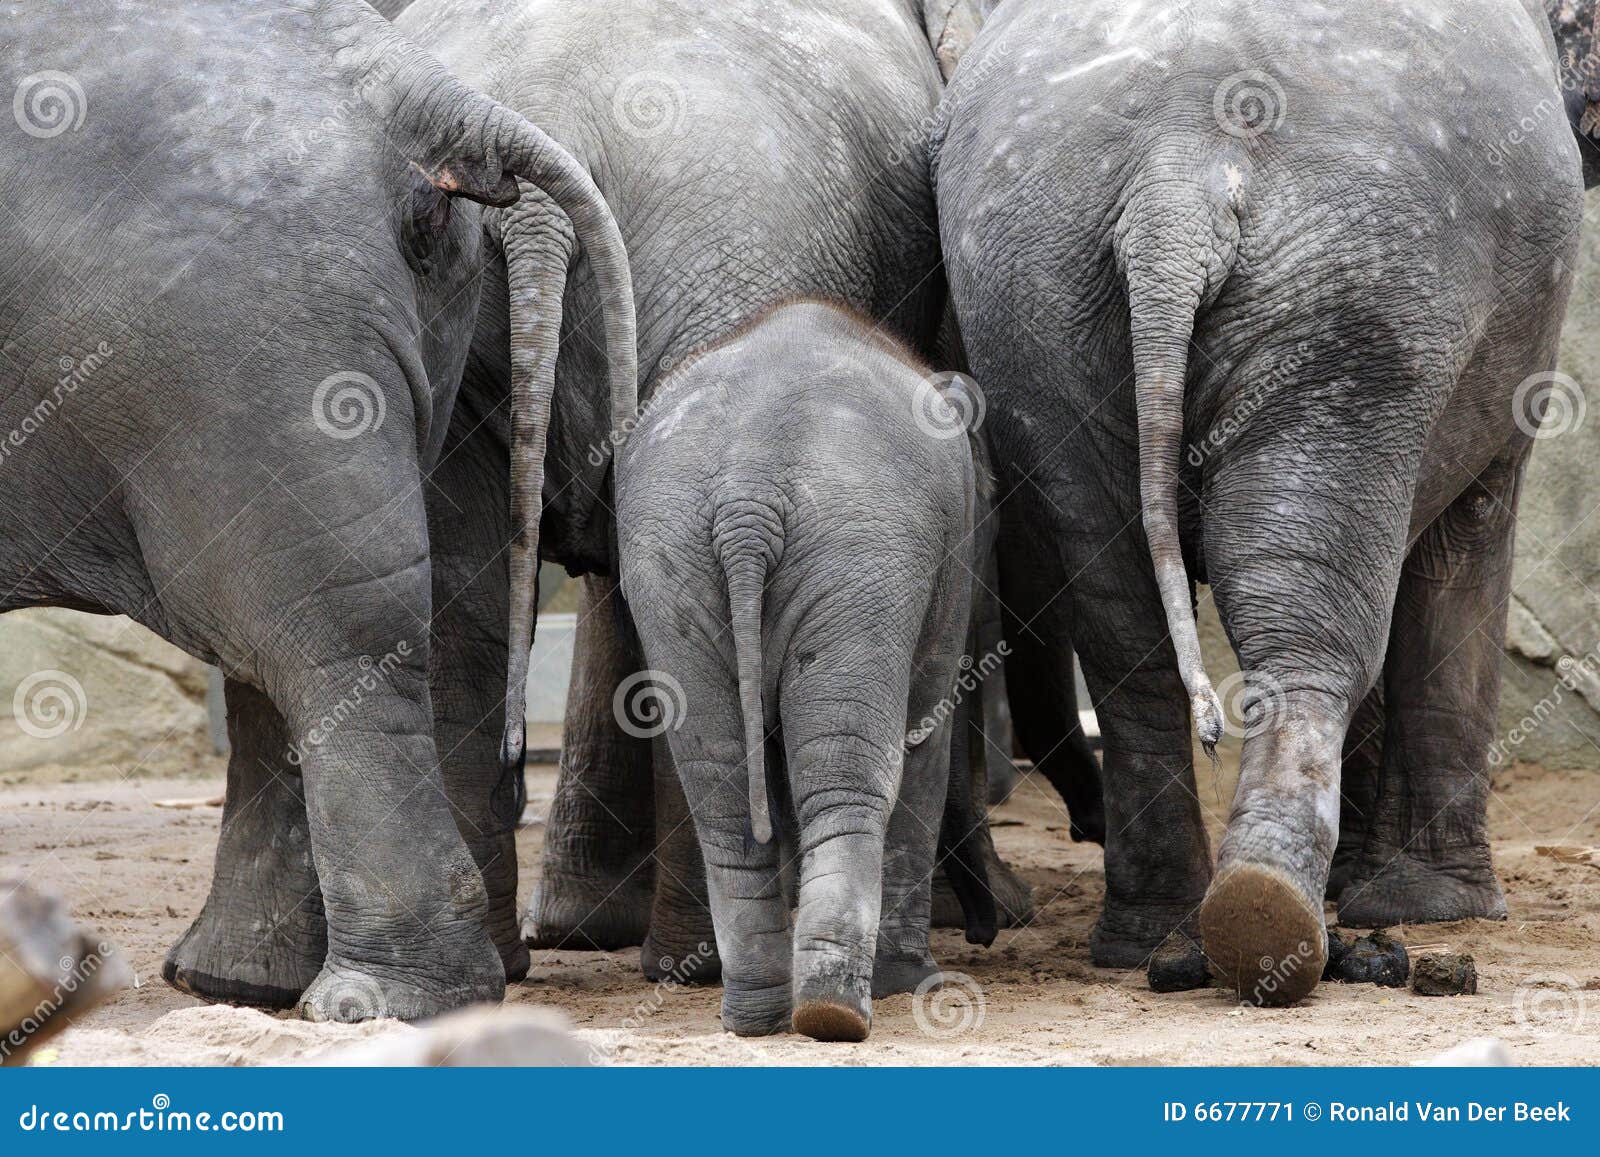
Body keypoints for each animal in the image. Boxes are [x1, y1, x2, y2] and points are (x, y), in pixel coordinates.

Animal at [0, 0, 636, 1021]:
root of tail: (407, 86)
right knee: (291, 640)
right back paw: (239, 979)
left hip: (247, 345)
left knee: (326, 634)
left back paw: (372, 1002)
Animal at [615, 299, 994, 1040]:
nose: (986, 933)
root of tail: (747, 499)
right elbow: (928, 726)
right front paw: (912, 981)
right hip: (857, 554)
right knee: (848, 770)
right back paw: (838, 1012)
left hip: (670, 565)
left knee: (722, 790)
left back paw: (761, 1016)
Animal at [935, 0, 1585, 1003]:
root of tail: (1175, 176)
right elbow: (1467, 540)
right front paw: (1444, 908)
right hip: (1357, 304)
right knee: (1311, 619)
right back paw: (1270, 923)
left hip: (1030, 296)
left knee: (1123, 622)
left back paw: (1160, 936)